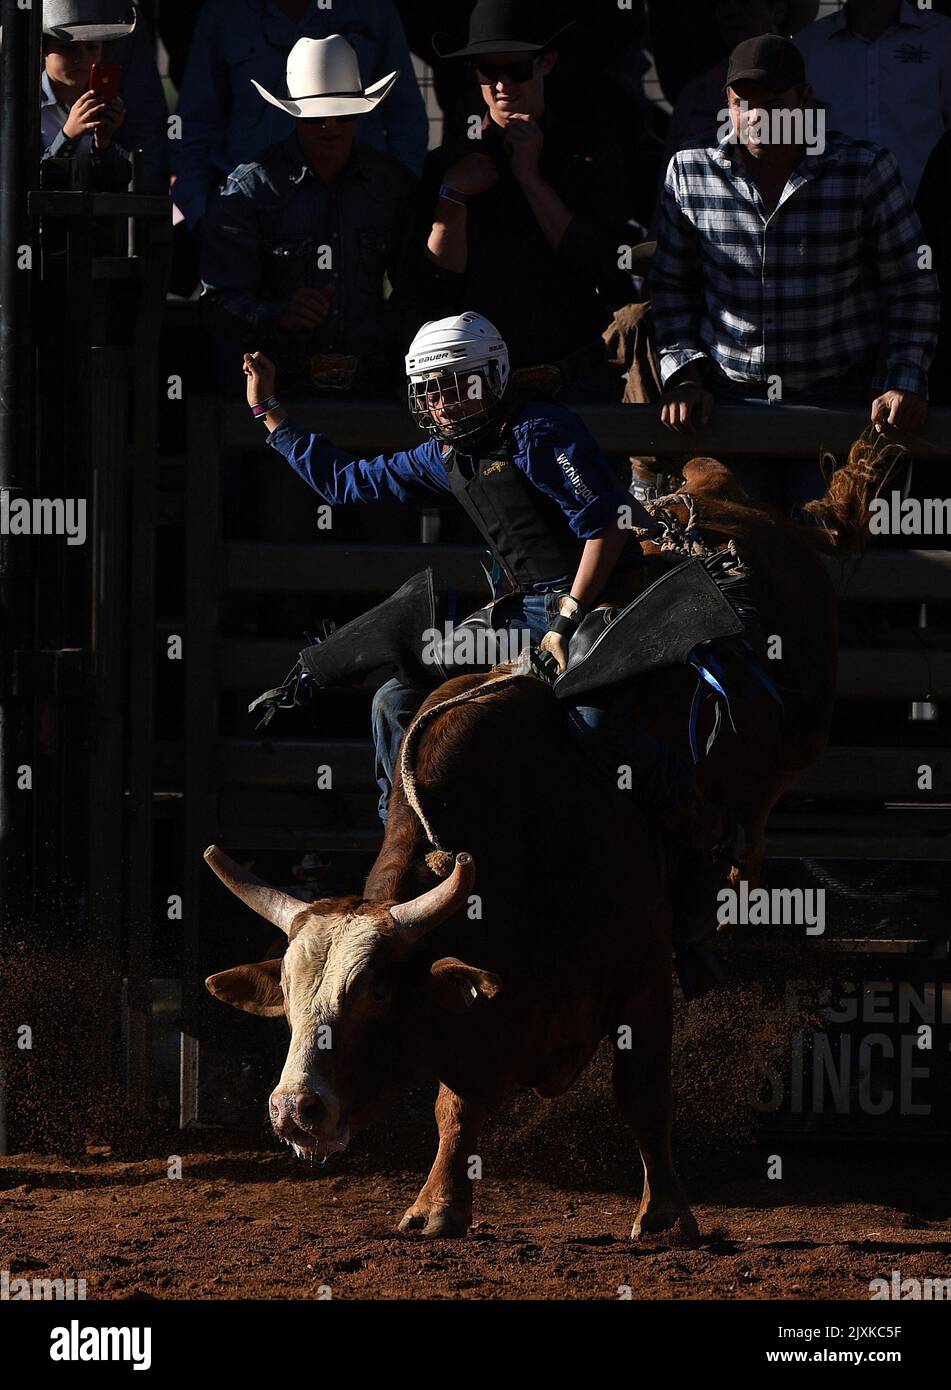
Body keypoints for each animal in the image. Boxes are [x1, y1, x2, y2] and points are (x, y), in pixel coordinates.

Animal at [204, 433, 902, 1242]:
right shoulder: (481, 1014)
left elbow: (642, 1094)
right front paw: (436, 1206)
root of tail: (713, 492)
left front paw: (666, 1215)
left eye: (374, 993)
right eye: (286, 994)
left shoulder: (641, 978)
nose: (294, 1110)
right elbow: (454, 1106)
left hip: (801, 727)